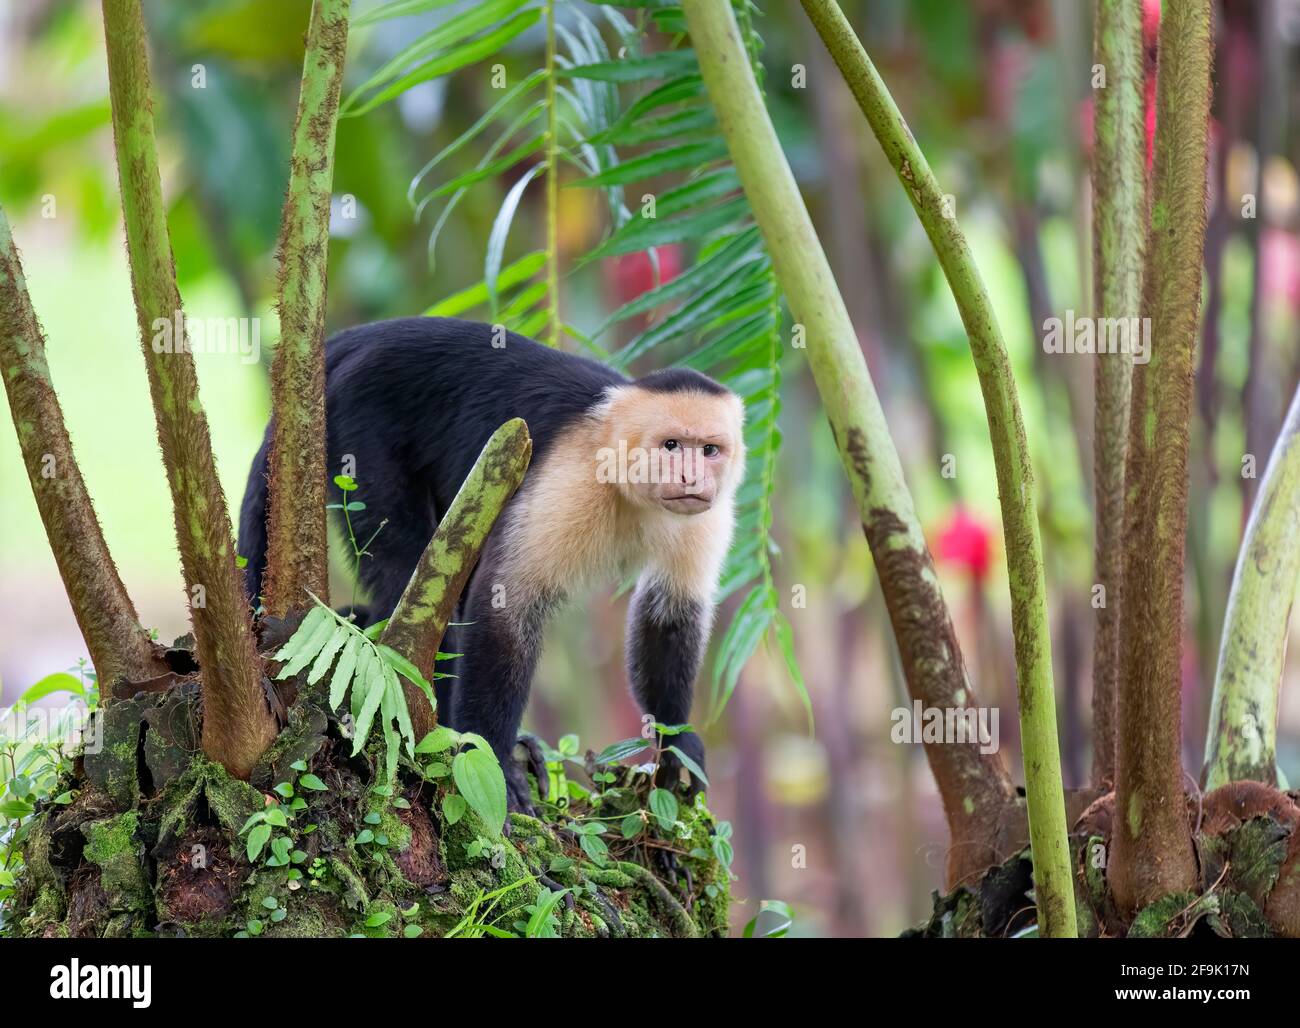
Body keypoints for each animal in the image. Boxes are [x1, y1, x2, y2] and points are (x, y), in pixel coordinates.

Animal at [239, 317, 745, 814]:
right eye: (671, 445)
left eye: (709, 450)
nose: (691, 477)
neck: (628, 485)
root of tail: (359, 336)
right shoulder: (575, 478)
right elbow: (506, 604)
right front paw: (493, 762)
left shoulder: (708, 513)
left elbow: (670, 615)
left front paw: (675, 742)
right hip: (360, 422)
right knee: (409, 575)